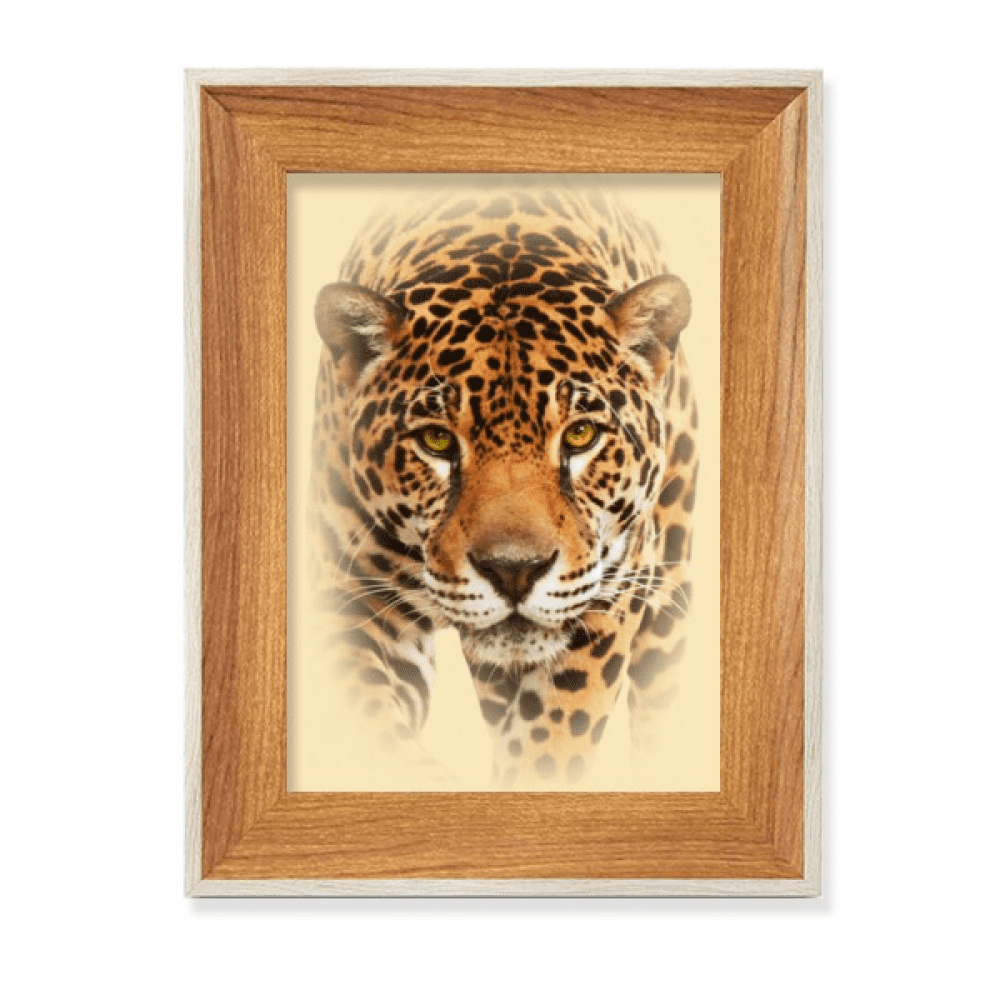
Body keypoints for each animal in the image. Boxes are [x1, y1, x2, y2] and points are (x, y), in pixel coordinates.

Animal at [307, 186, 698, 788]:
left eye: (580, 435)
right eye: (437, 441)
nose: (514, 571)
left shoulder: (608, 590)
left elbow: (554, 739)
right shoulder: (352, 595)